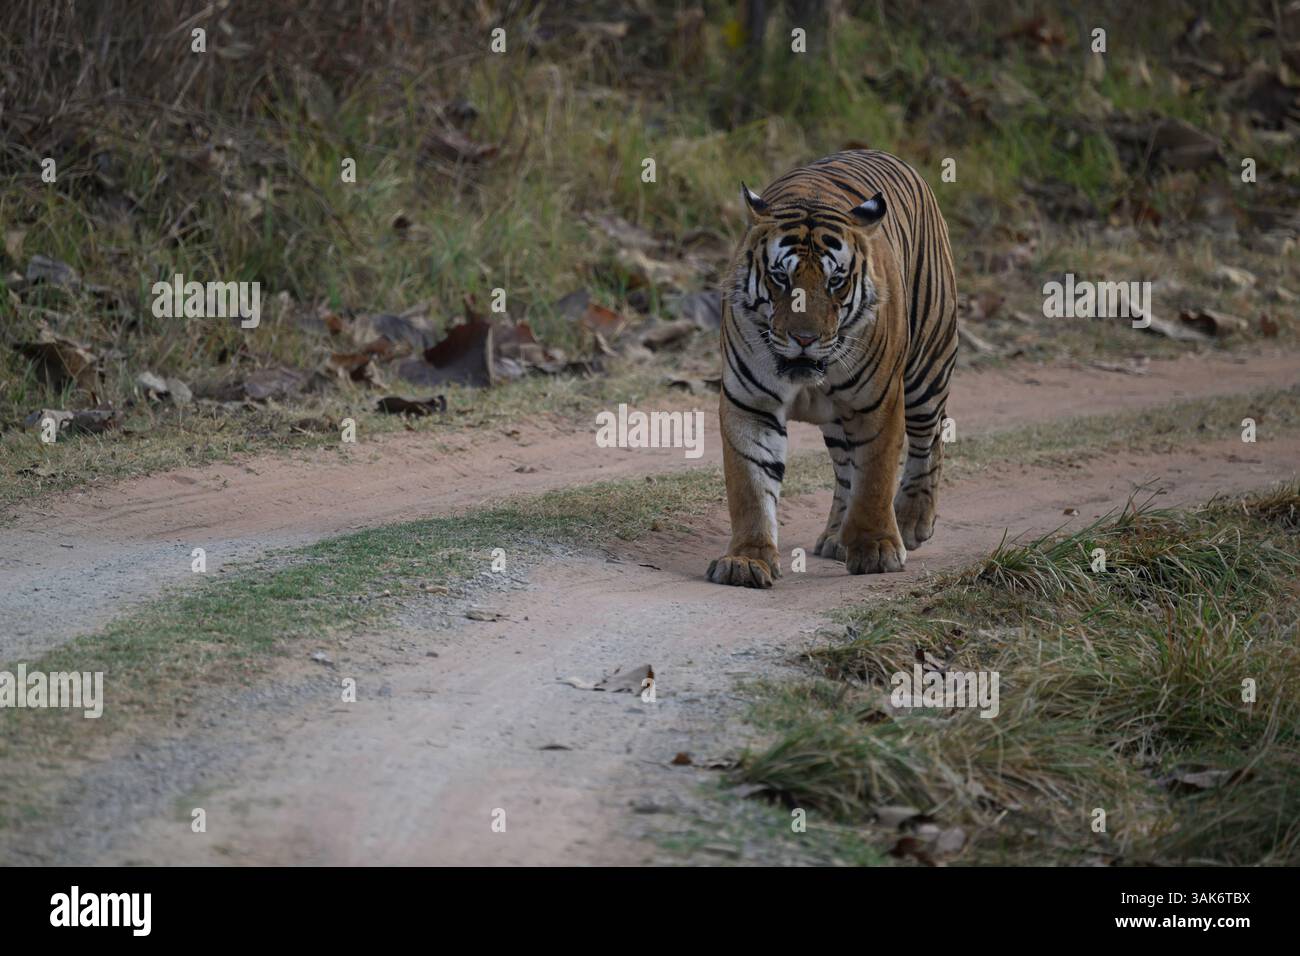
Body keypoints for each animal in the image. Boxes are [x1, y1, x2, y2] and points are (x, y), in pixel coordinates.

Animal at [707, 148, 957, 588]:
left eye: (835, 281)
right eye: (780, 277)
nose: (804, 338)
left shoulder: (878, 403)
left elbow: (874, 477)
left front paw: (876, 549)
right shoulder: (750, 404)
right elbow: (750, 486)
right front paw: (746, 560)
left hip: (927, 369)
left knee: (929, 442)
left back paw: (912, 520)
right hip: (842, 418)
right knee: (845, 469)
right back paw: (838, 537)